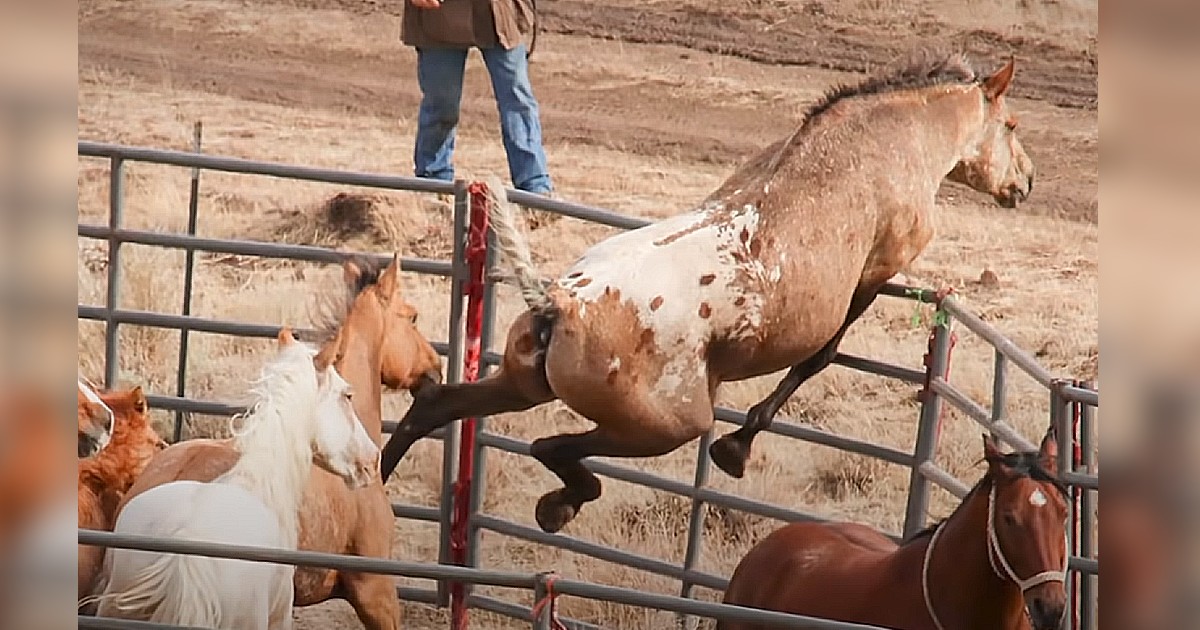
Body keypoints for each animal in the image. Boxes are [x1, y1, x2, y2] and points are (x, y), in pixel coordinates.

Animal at [378, 50, 1036, 533]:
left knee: (438, 407)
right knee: (553, 448)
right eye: (1009, 125)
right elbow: (818, 357)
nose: (1026, 182)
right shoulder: (879, 270)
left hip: (521, 385)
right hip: (667, 425)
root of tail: (560, 304)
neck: (888, 139)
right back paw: (558, 505)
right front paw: (737, 449)